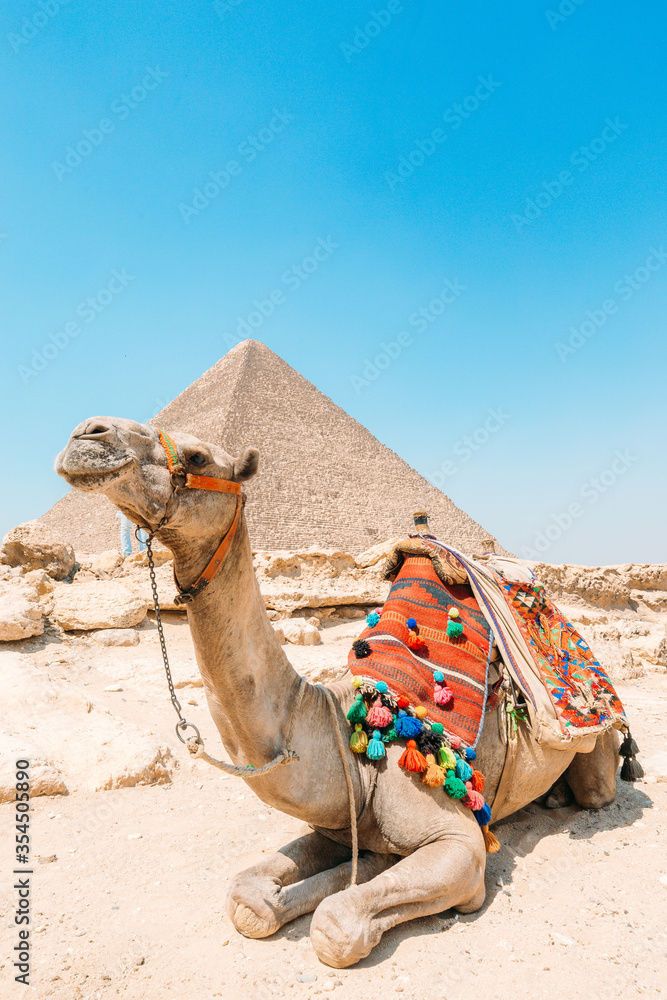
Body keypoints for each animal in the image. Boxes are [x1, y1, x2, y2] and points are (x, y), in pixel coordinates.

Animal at [56, 416, 620, 968]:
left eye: (197, 456)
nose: (87, 433)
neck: (349, 736)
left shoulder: (461, 845)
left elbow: (335, 923)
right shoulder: (334, 825)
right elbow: (249, 896)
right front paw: (324, 879)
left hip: (596, 748)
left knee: (599, 789)